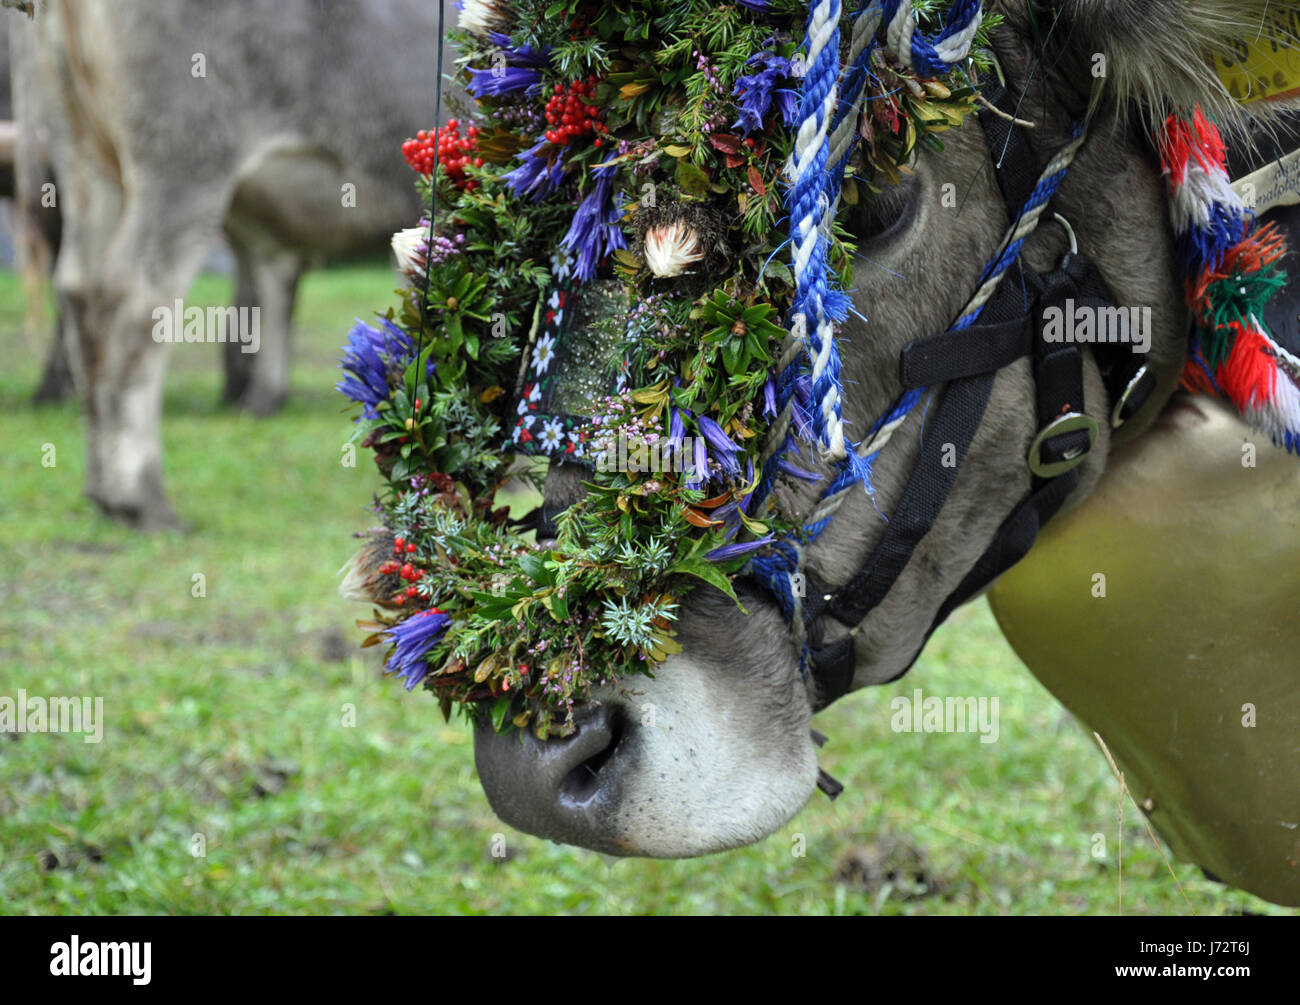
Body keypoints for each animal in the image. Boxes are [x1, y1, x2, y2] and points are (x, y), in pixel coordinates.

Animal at [9, 0, 454, 526]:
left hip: (86, 161)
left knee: (79, 290)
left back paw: (103, 490)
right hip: (186, 158)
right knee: (133, 299)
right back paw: (140, 495)